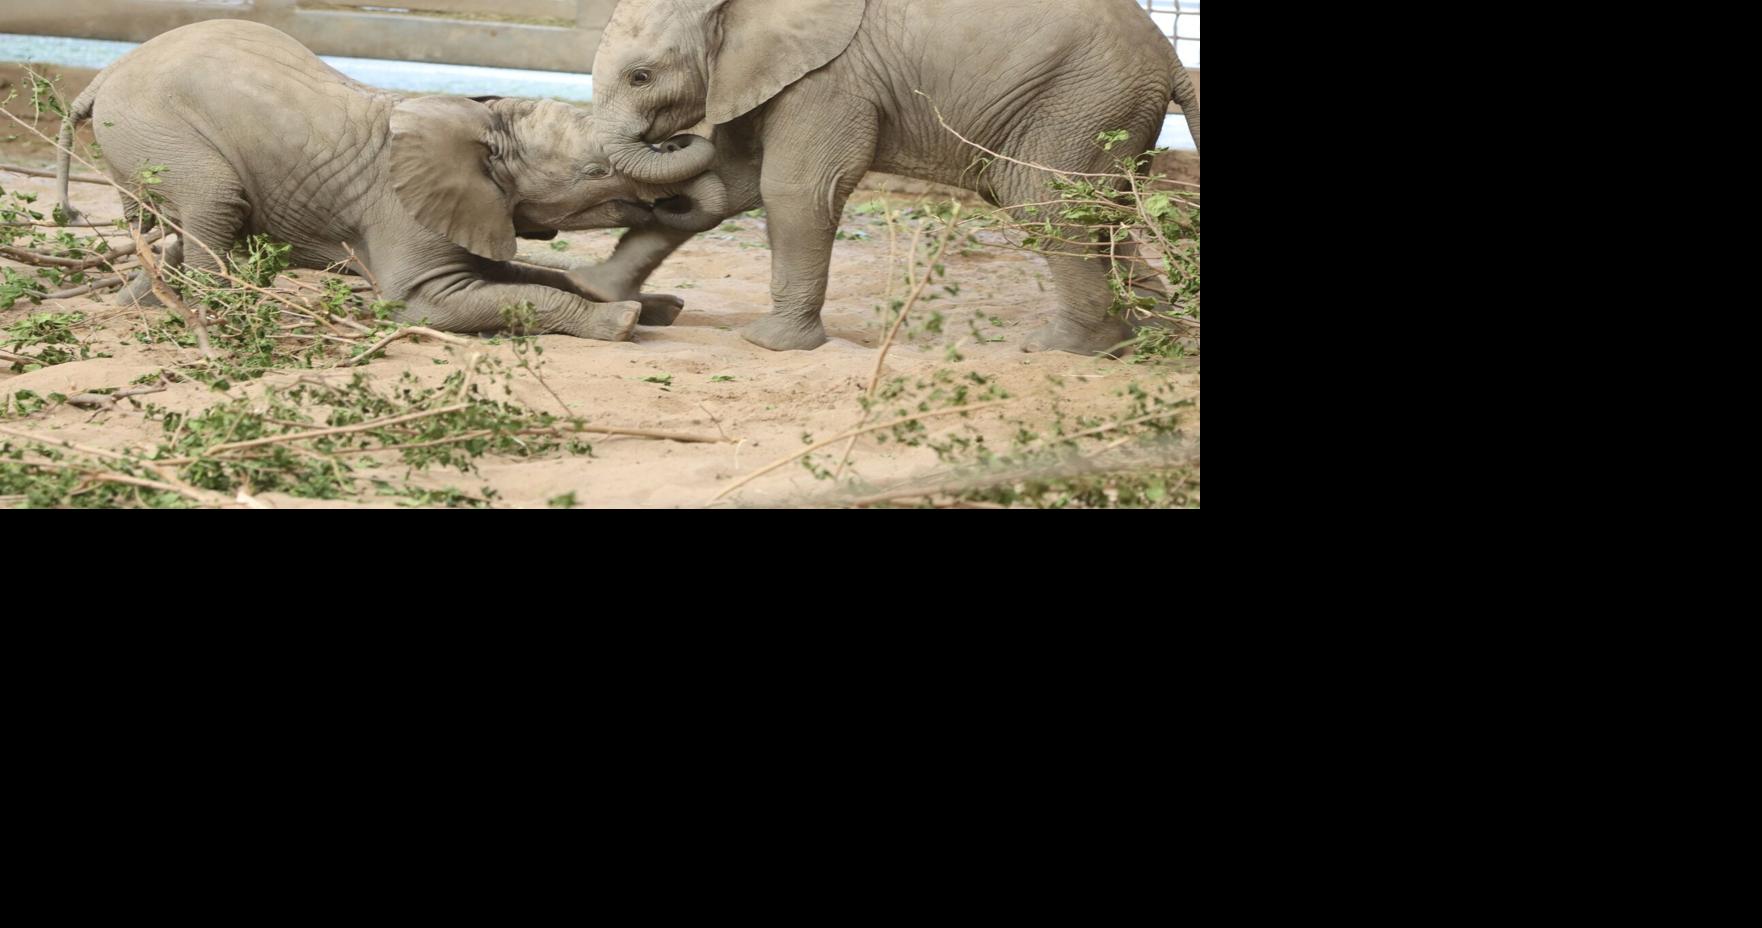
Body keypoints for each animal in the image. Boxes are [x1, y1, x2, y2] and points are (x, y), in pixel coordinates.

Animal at [54, 19, 730, 340]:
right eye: (595, 171)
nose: (680, 134)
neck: (484, 124)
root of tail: (106, 73)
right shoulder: (403, 211)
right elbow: (432, 300)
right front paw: (623, 322)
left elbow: (519, 275)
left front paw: (661, 309)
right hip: (154, 128)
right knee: (215, 205)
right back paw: (220, 311)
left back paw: (132, 308)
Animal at [587, 0, 1201, 356]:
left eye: (641, 76)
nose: (673, 140)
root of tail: (1171, 57)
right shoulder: (755, 70)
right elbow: (733, 181)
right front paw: (597, 292)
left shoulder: (831, 77)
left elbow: (792, 189)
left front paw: (771, 344)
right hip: (1105, 113)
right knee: (1101, 208)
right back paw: (1147, 335)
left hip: (1081, 99)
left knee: (1041, 200)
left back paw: (1069, 347)